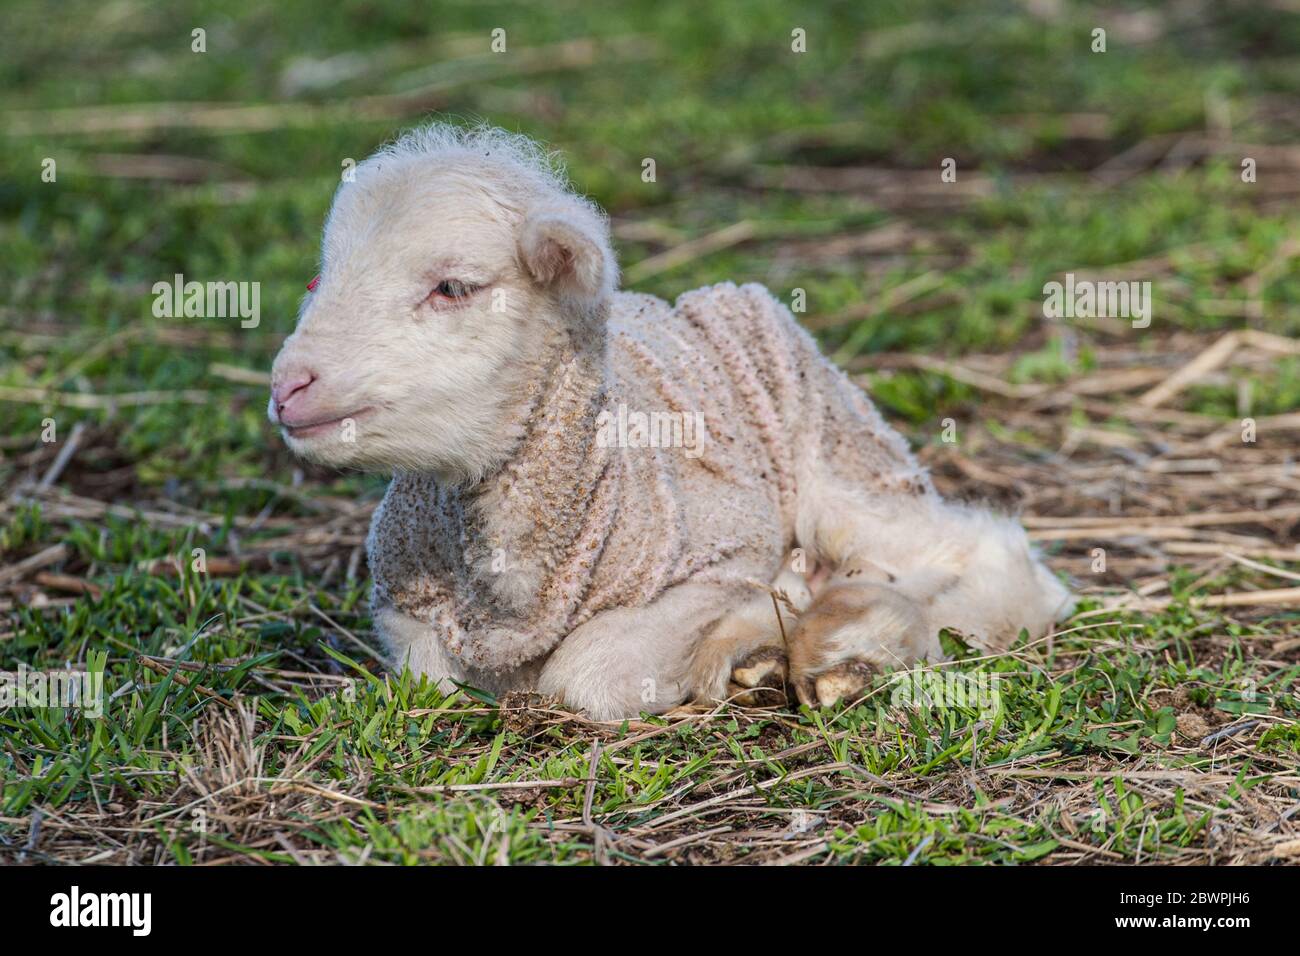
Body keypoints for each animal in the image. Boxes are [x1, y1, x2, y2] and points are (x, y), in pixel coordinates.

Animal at [268, 123, 1072, 720]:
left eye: (452, 287)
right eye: (318, 277)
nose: (287, 385)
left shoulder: (724, 554)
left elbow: (587, 674)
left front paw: (771, 624)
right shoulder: (403, 606)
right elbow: (427, 673)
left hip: (845, 461)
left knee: (999, 563)